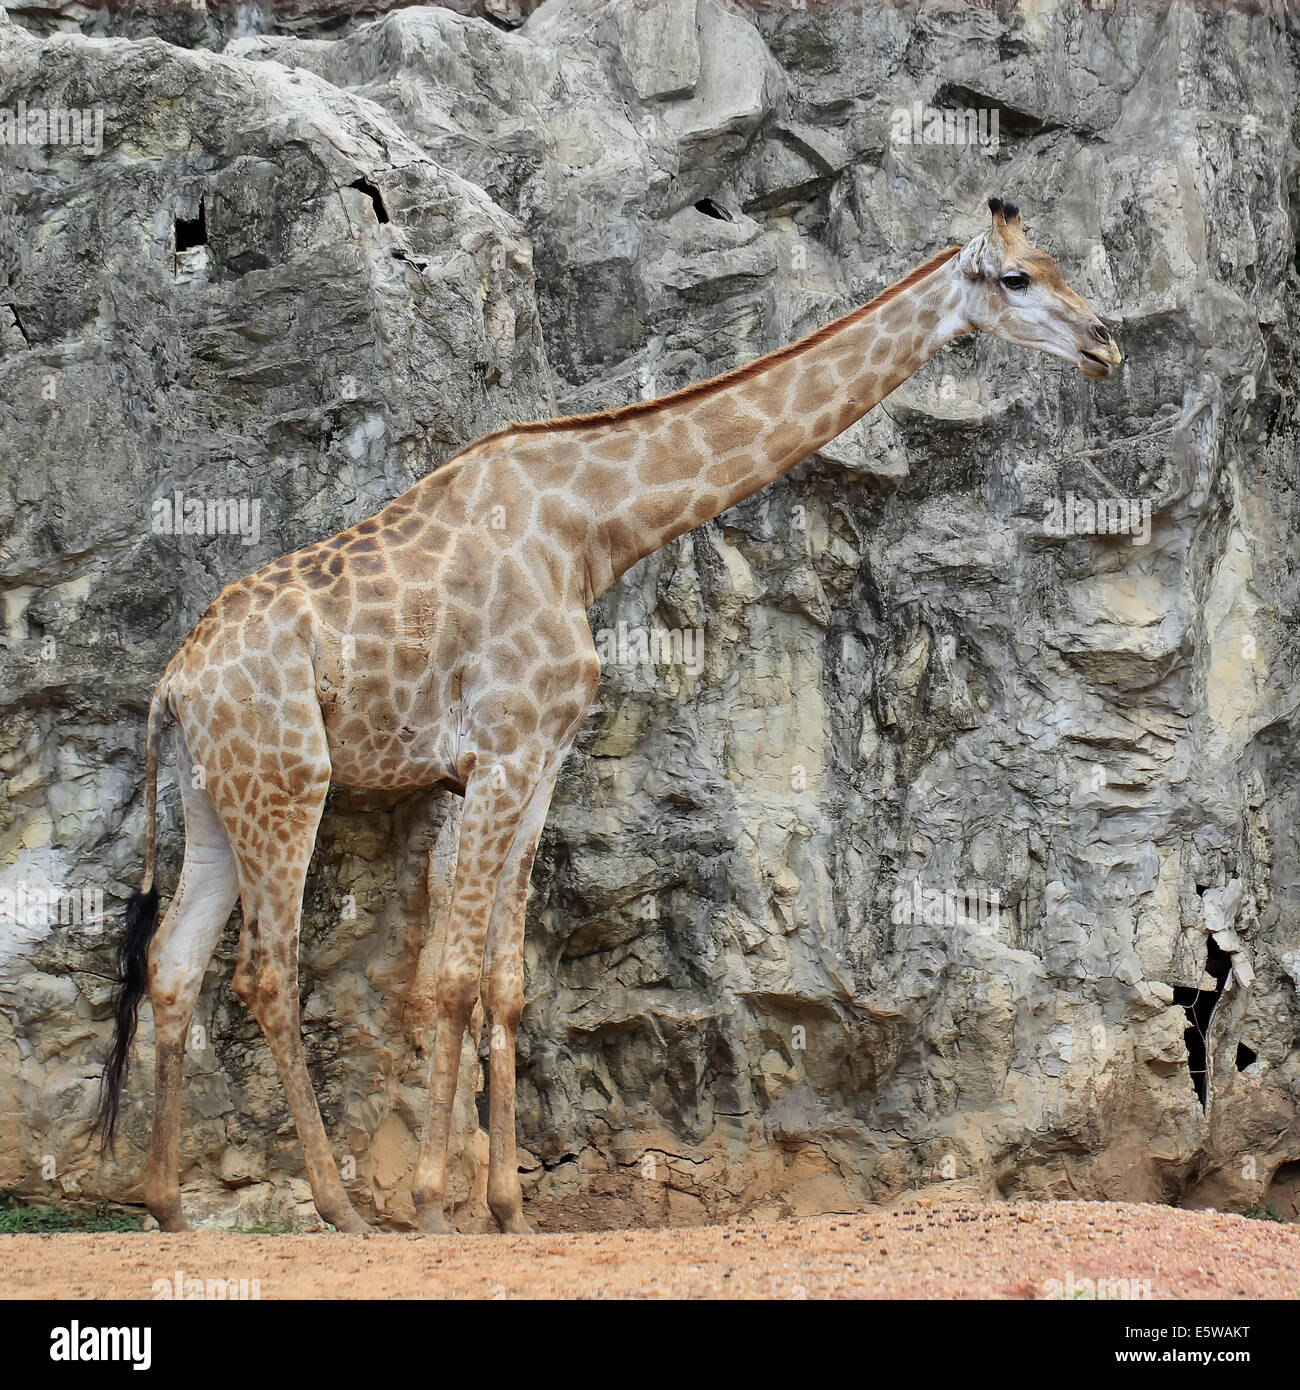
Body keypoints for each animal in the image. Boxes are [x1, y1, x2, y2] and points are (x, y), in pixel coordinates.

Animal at [96, 197, 1121, 1235]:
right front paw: (432, 1205)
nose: (1107, 345)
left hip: (217, 796)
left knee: (174, 964)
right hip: (288, 781)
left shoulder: (536, 761)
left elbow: (505, 984)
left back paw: (166, 1204)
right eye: (1020, 277)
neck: (589, 530)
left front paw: (508, 1210)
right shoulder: (502, 750)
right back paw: (341, 1209)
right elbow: (451, 979)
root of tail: (173, 683)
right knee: (264, 972)